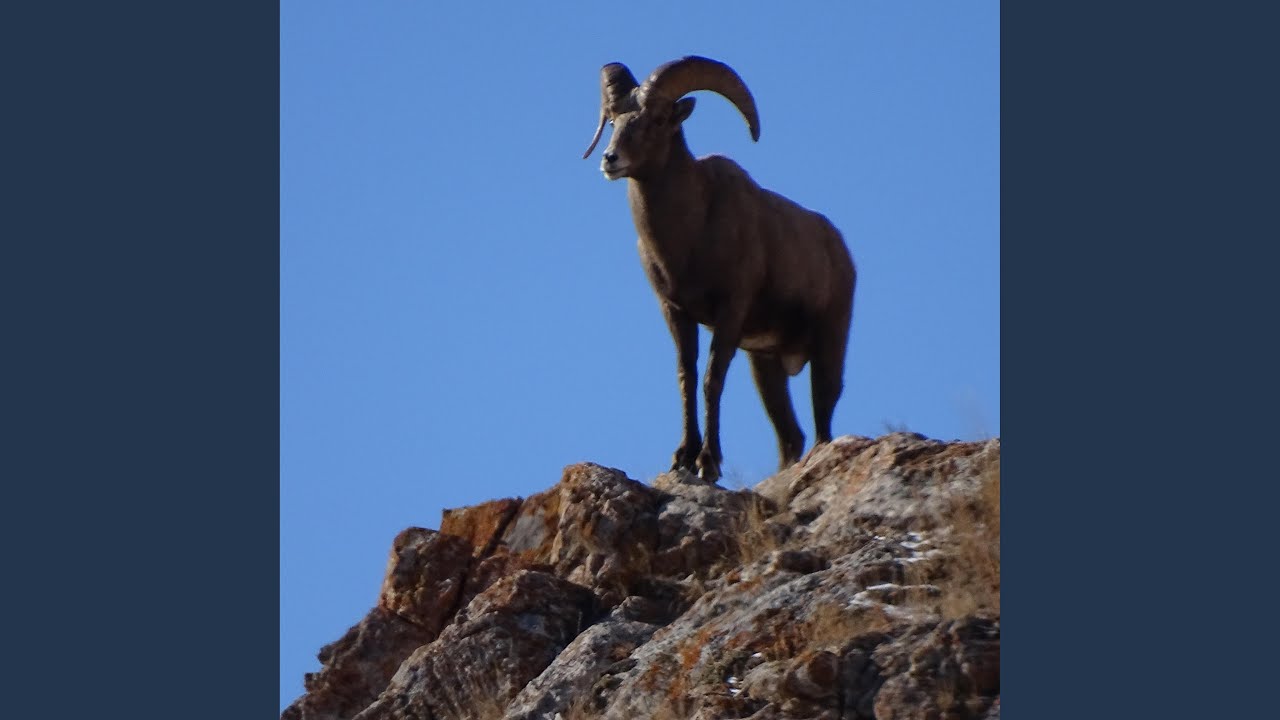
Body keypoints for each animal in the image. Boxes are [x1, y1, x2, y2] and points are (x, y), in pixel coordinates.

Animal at [582, 56, 857, 482]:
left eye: (658, 119)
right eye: (613, 121)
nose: (610, 160)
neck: (691, 234)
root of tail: (839, 246)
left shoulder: (730, 311)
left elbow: (712, 379)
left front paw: (707, 463)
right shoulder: (676, 312)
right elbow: (688, 375)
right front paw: (683, 456)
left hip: (829, 345)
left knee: (822, 417)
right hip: (766, 366)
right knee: (790, 436)